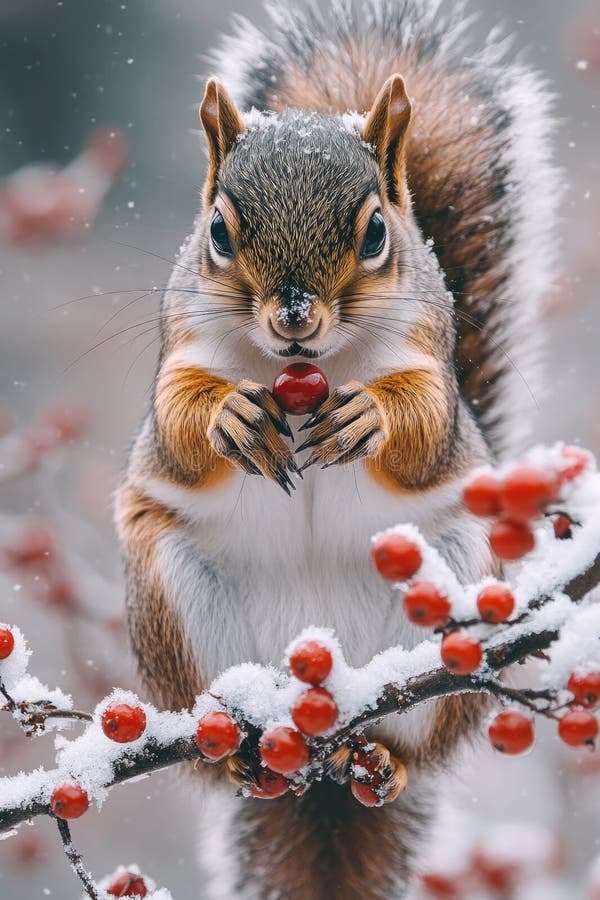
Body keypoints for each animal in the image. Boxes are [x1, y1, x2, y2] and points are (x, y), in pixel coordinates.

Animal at [115, 1, 559, 897]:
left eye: (377, 231)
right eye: (219, 231)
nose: (294, 316)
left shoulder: (432, 361)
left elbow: (424, 426)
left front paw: (370, 419)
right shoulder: (179, 348)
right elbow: (178, 426)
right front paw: (225, 417)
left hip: (450, 605)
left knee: (411, 742)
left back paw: (383, 759)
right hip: (178, 604)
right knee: (224, 740)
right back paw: (244, 755)